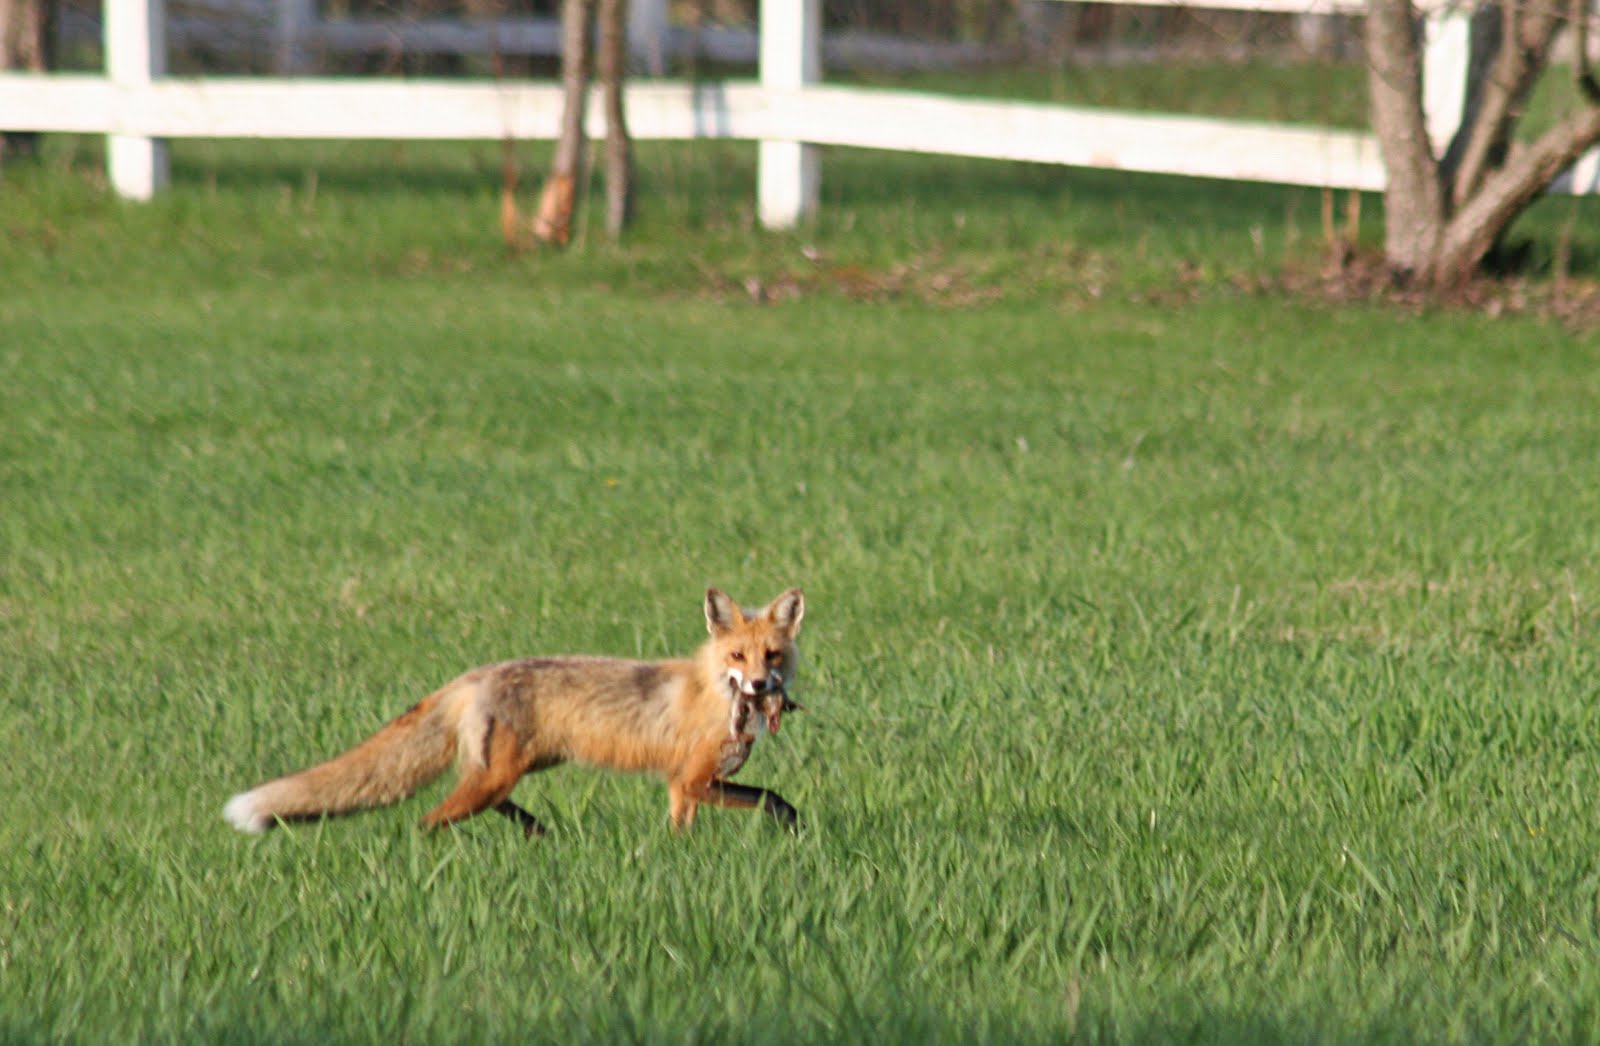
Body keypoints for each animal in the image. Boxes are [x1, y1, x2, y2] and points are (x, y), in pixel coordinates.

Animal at [223, 587, 806, 837]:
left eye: (772, 655)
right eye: (737, 656)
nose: (759, 684)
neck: (716, 693)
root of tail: (472, 675)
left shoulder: (683, 787)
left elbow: (743, 811)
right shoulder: (691, 779)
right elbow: (768, 798)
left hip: (510, 770)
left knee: (487, 803)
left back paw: (538, 832)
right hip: (497, 775)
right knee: (428, 819)